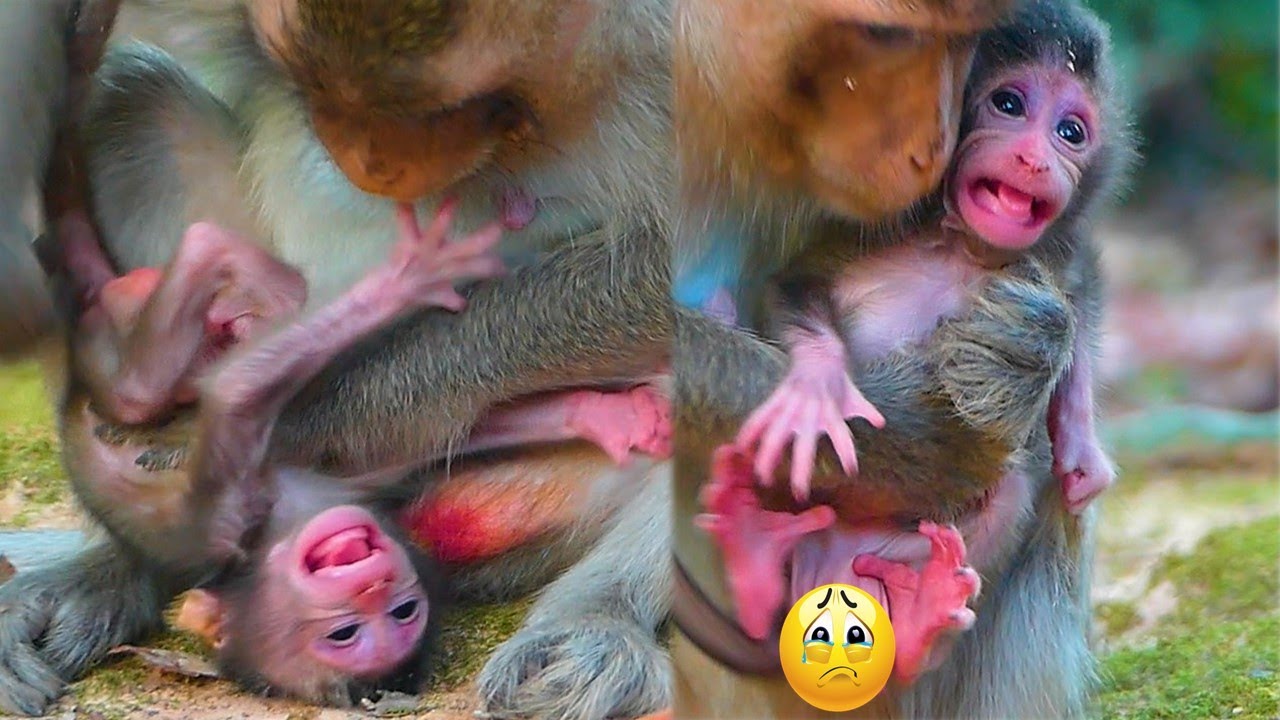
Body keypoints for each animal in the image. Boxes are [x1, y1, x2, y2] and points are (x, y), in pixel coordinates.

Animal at [669, 1, 1128, 717]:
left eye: (1071, 131)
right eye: (1009, 104)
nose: (1031, 158)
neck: (961, 247)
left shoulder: (1053, 253)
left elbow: (1074, 313)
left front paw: (1079, 445)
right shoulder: (874, 230)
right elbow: (790, 289)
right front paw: (819, 386)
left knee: (1012, 488)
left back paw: (910, 621)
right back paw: (755, 559)